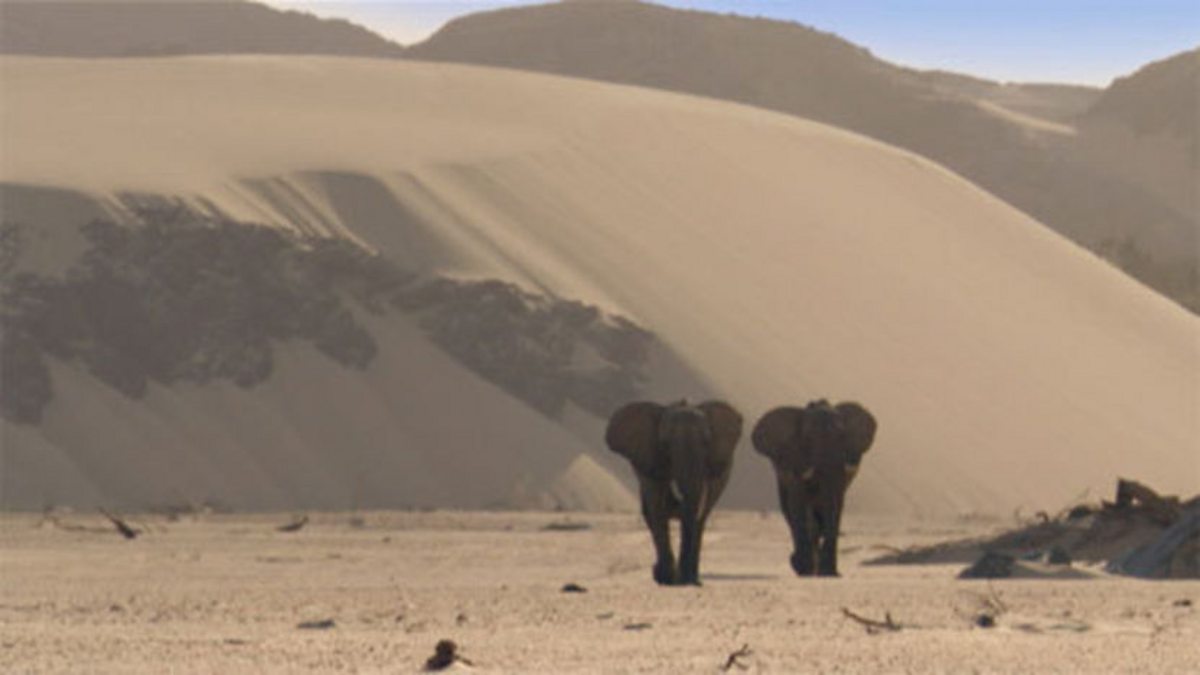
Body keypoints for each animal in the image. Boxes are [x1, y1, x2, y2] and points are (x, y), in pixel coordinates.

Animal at [605, 399, 743, 586]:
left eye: (707, 442)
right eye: (664, 443)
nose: (682, 580)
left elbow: (694, 514)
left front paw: (683, 580)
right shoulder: (650, 462)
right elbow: (657, 510)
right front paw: (666, 578)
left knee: (701, 521)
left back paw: (692, 578)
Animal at [752, 400, 876, 577]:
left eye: (842, 436)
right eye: (807, 438)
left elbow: (836, 505)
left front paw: (829, 574)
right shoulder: (793, 460)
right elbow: (798, 504)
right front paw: (804, 568)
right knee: (790, 510)